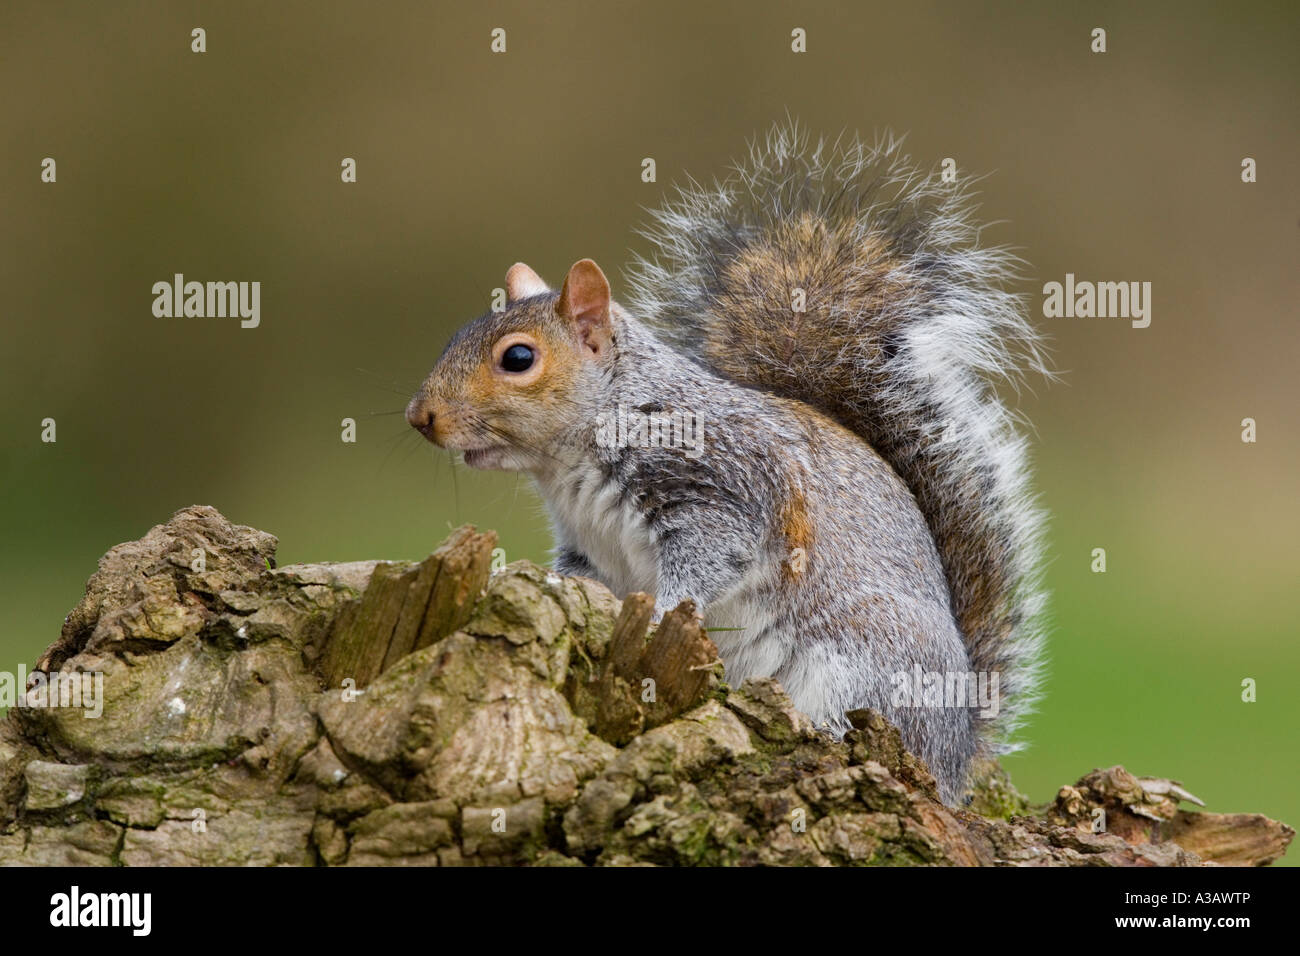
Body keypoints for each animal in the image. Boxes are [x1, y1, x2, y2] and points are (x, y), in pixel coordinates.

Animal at [406, 124, 1049, 804]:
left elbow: (707, 563)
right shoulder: (587, 542)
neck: (572, 459)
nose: (420, 416)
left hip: (867, 666)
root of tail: (956, 760)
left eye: (518, 358)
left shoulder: (721, 488)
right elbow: (581, 576)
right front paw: (556, 589)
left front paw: (659, 615)